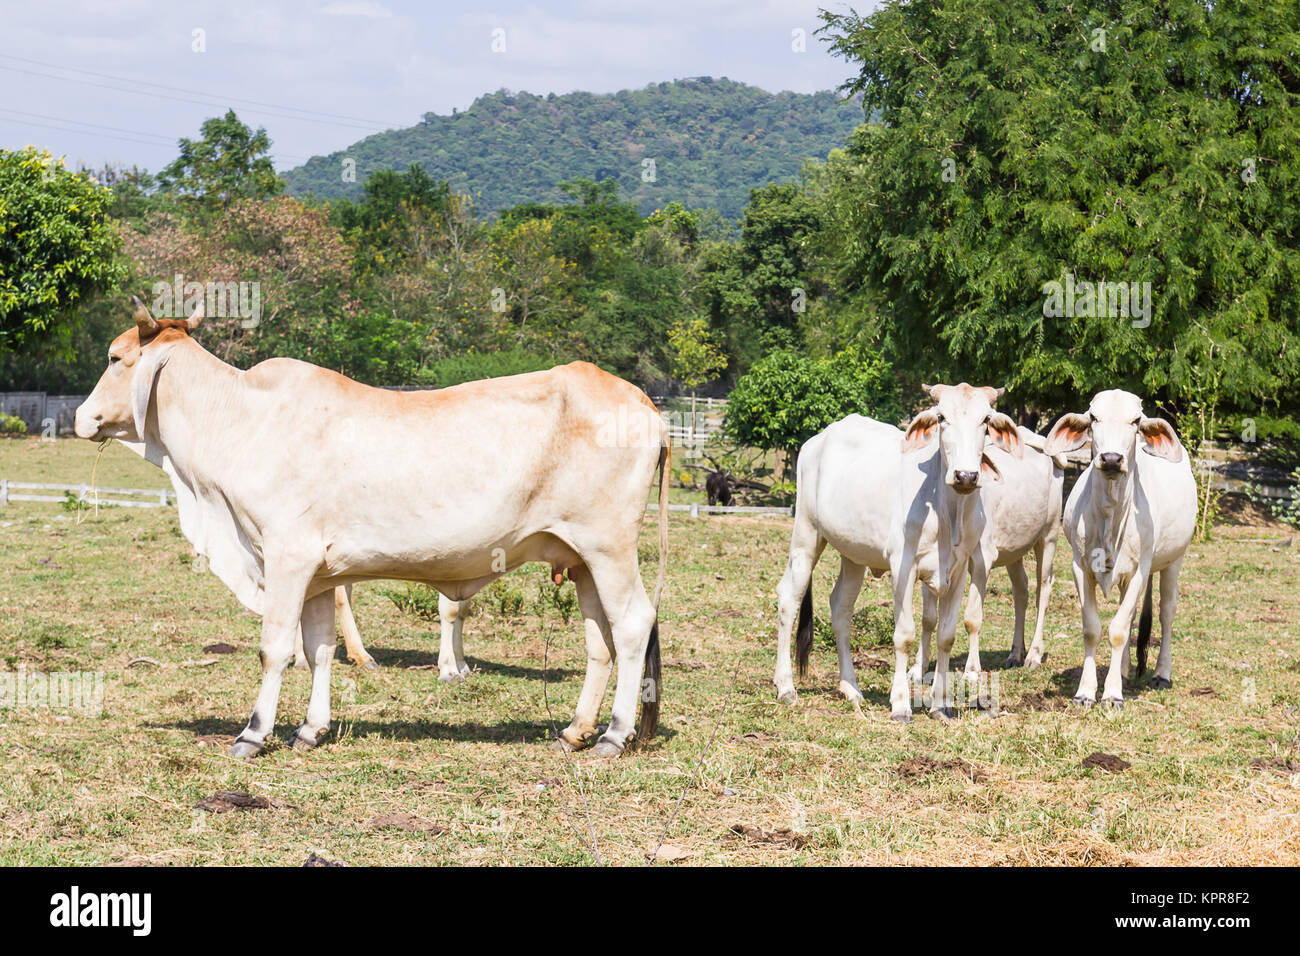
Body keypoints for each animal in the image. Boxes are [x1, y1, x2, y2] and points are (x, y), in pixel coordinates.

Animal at [75, 296, 669, 758]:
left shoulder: (287, 558)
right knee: (600, 640)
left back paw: (614, 735)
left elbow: (274, 646)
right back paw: (575, 731)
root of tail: (643, 402)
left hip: (610, 548)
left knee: (633, 624)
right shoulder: (318, 574)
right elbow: (318, 648)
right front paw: (310, 729)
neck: (242, 419)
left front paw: (253, 733)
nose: (81, 417)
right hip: (580, 558)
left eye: (114, 357)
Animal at [772, 383, 1023, 720]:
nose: (966, 476)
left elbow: (946, 635)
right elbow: (904, 635)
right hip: (806, 534)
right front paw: (901, 704)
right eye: (941, 417)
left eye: (986, 419)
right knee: (790, 597)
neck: (948, 512)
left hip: (853, 555)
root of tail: (819, 438)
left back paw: (851, 687)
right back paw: (786, 686)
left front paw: (940, 704)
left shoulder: (958, 572)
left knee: (840, 607)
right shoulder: (902, 567)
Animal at [910, 426, 1065, 683]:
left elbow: (972, 618)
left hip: (1049, 534)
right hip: (1014, 547)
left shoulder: (983, 560)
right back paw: (1016, 653)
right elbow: (928, 618)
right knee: (1021, 589)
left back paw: (1033, 655)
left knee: (1043, 589)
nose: (964, 476)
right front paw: (917, 668)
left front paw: (972, 670)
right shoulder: (930, 564)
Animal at [1044, 389, 1196, 707]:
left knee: (1166, 613)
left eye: (1135, 421)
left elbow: (1119, 630)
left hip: (1174, 561)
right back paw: (1125, 669)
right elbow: (1093, 629)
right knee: (1134, 612)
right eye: (1093, 417)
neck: (1110, 519)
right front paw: (1086, 692)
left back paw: (1161, 674)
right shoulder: (1080, 566)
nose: (1112, 458)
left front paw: (1112, 694)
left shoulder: (1141, 570)